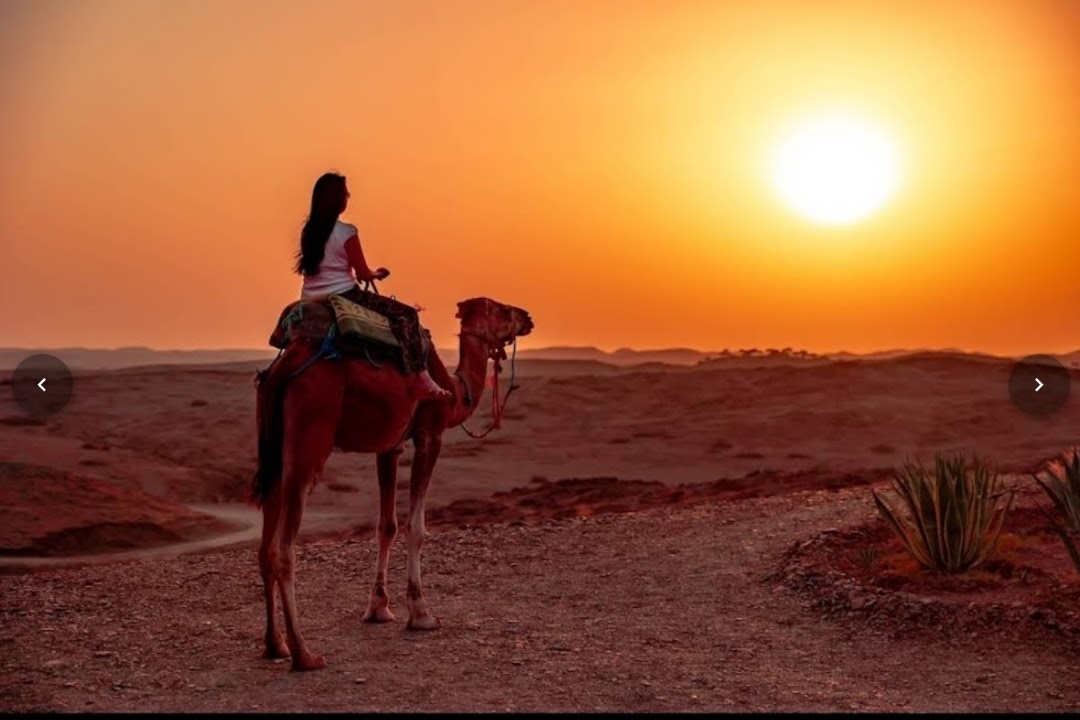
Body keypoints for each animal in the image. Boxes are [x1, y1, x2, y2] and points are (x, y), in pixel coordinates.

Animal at [251, 296, 533, 671]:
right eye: (502, 309)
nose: (527, 317)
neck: (455, 391)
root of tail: (286, 365)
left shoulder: (389, 446)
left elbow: (386, 526)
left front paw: (378, 608)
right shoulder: (430, 434)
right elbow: (416, 528)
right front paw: (422, 614)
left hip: (273, 448)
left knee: (265, 546)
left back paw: (275, 645)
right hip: (307, 439)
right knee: (283, 549)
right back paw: (304, 654)